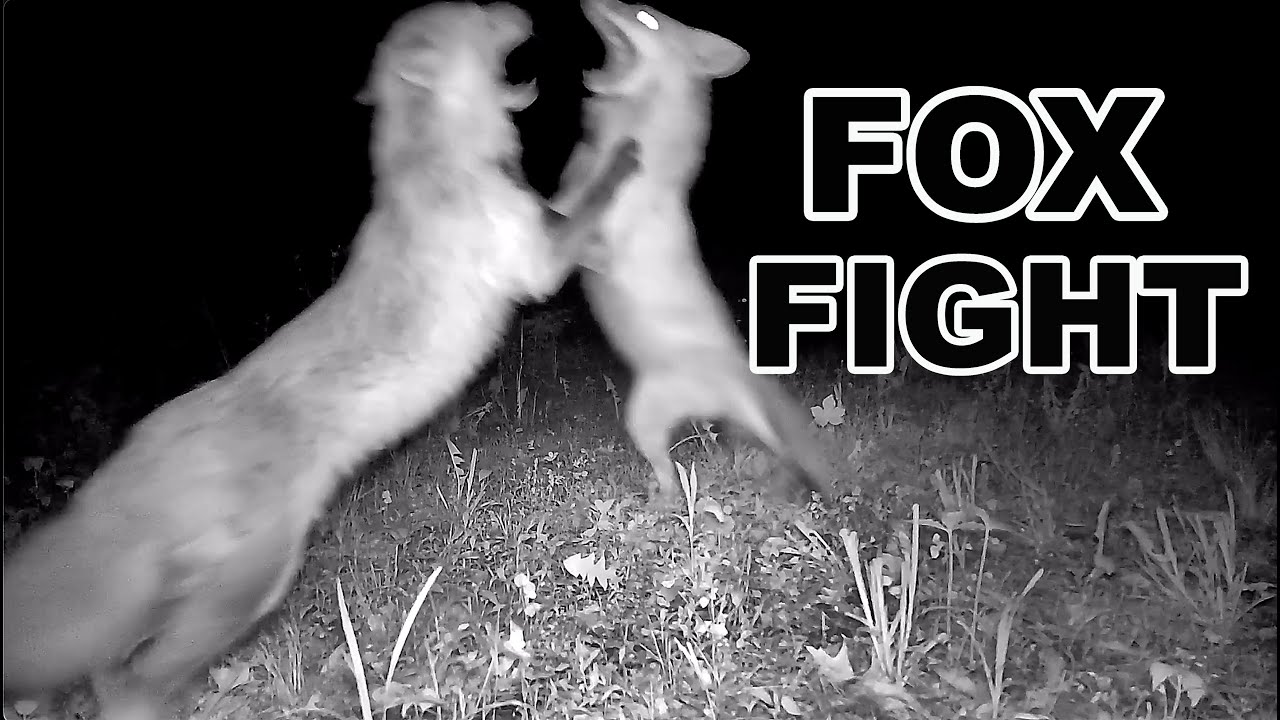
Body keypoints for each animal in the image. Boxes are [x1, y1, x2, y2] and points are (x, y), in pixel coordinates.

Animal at [1, 3, 638, 718]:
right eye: (477, 15)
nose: (517, 9)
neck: (440, 158)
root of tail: (127, 463)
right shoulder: (533, 261)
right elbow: (588, 201)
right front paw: (626, 151)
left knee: (112, 673)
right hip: (249, 585)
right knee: (137, 678)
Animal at [550, 0, 834, 506]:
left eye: (645, 17)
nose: (591, 1)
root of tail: (738, 380)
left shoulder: (599, 243)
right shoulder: (568, 201)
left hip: (643, 413)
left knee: (670, 474)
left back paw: (658, 500)